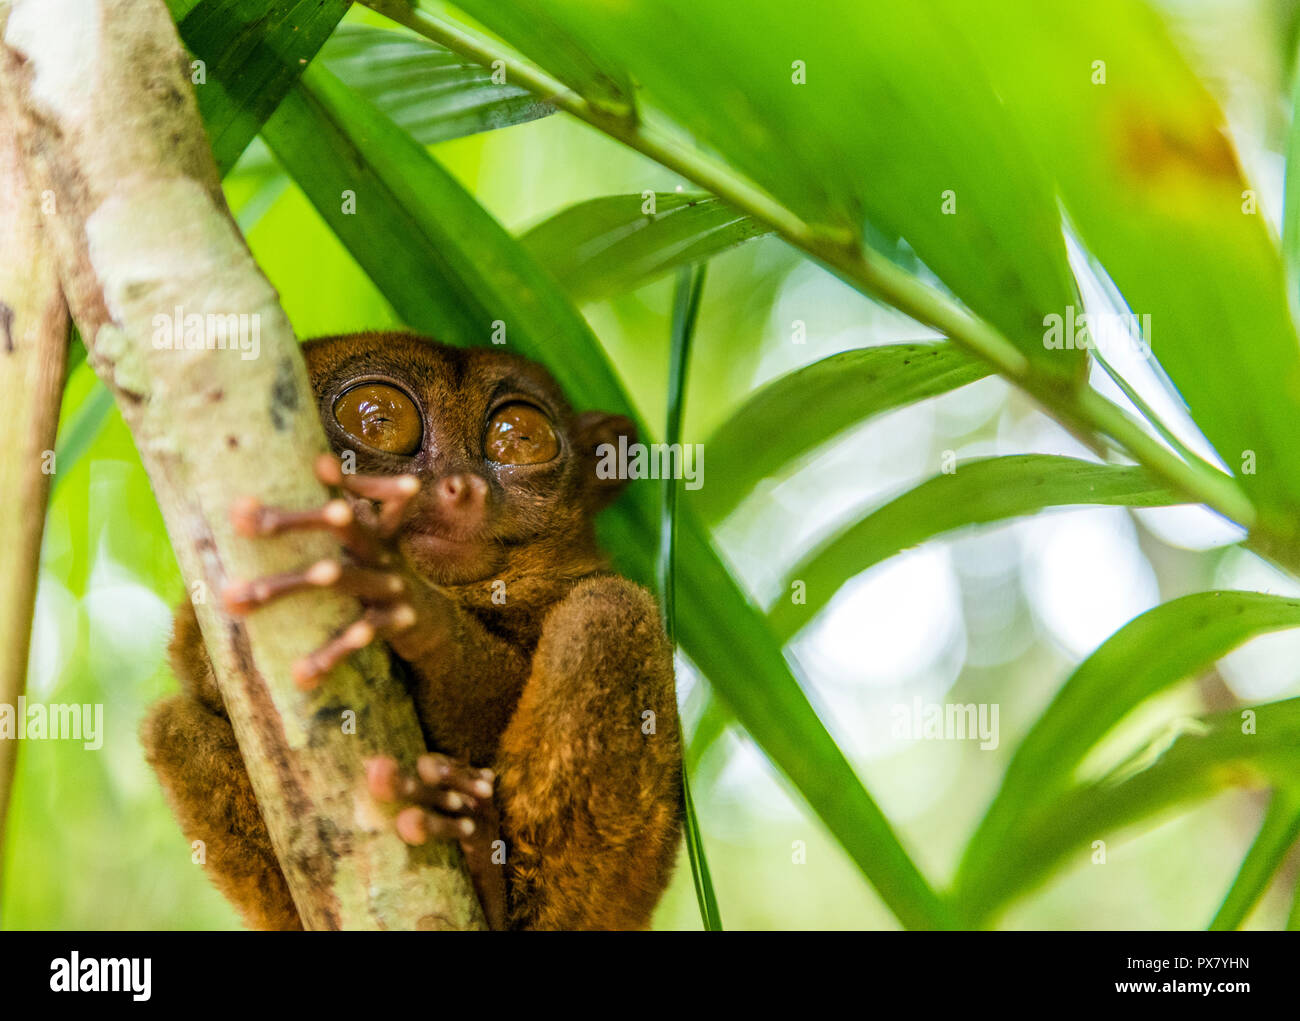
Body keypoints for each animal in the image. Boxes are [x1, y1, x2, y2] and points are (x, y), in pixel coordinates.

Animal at [139, 331, 683, 931]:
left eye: (521, 439)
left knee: (609, 609)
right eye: (377, 421)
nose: (463, 487)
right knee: (172, 727)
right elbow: (198, 660)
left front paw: (409, 605)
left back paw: (485, 871)